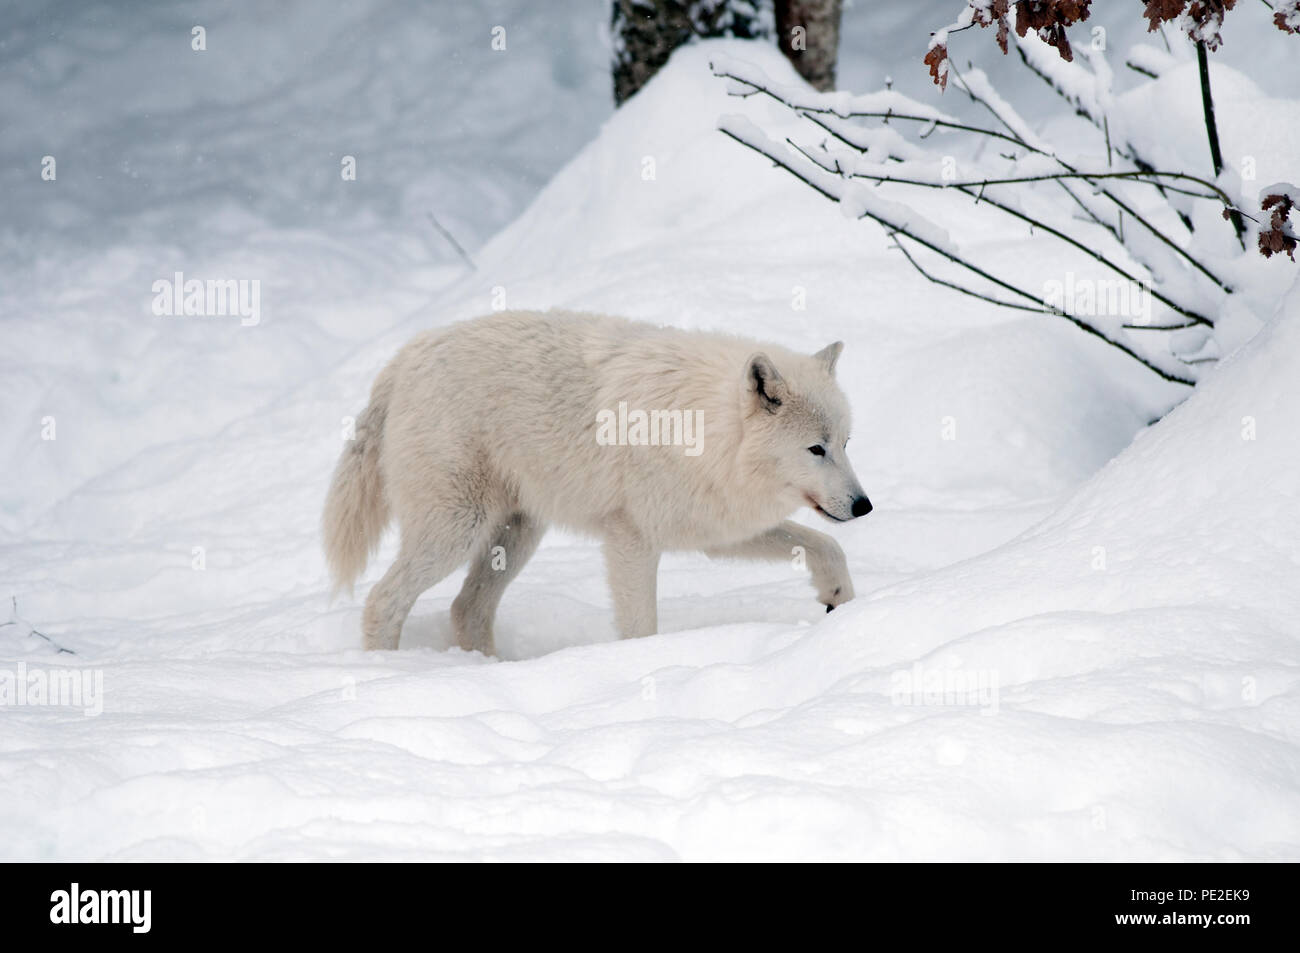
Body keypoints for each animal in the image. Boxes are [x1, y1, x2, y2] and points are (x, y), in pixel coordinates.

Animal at [323, 310, 871, 653]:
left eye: (846, 443)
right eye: (816, 449)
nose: (863, 506)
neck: (702, 429)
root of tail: (404, 357)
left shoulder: (716, 531)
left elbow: (826, 546)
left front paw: (840, 601)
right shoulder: (632, 539)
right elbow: (641, 628)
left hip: (516, 537)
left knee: (466, 609)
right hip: (455, 531)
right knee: (382, 601)